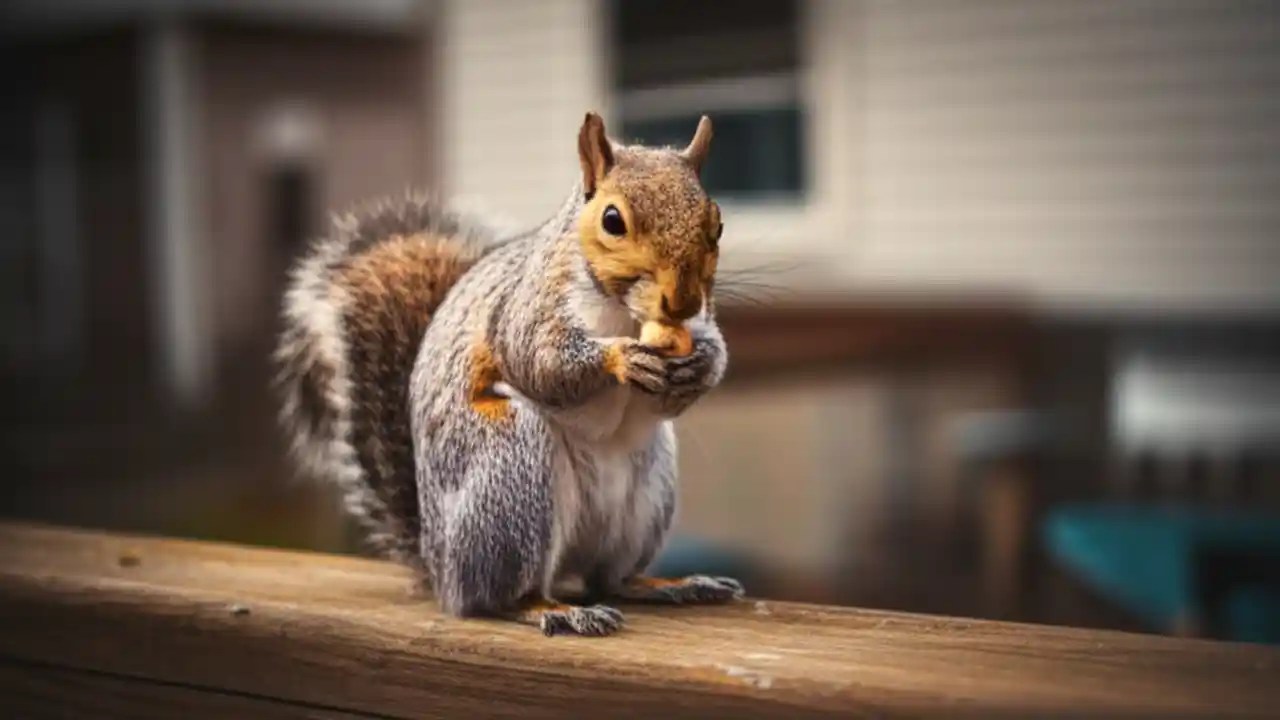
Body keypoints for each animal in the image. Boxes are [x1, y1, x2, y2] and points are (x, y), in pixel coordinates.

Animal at [275, 112, 740, 636]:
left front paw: (698, 366)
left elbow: (708, 354)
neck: (623, 311)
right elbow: (538, 362)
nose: (681, 302)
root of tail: (440, 567)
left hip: (645, 495)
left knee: (610, 578)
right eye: (612, 220)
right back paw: (554, 609)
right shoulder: (524, 309)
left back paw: (668, 584)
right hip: (510, 474)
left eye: (718, 223)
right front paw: (621, 357)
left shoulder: (697, 322)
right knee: (498, 596)